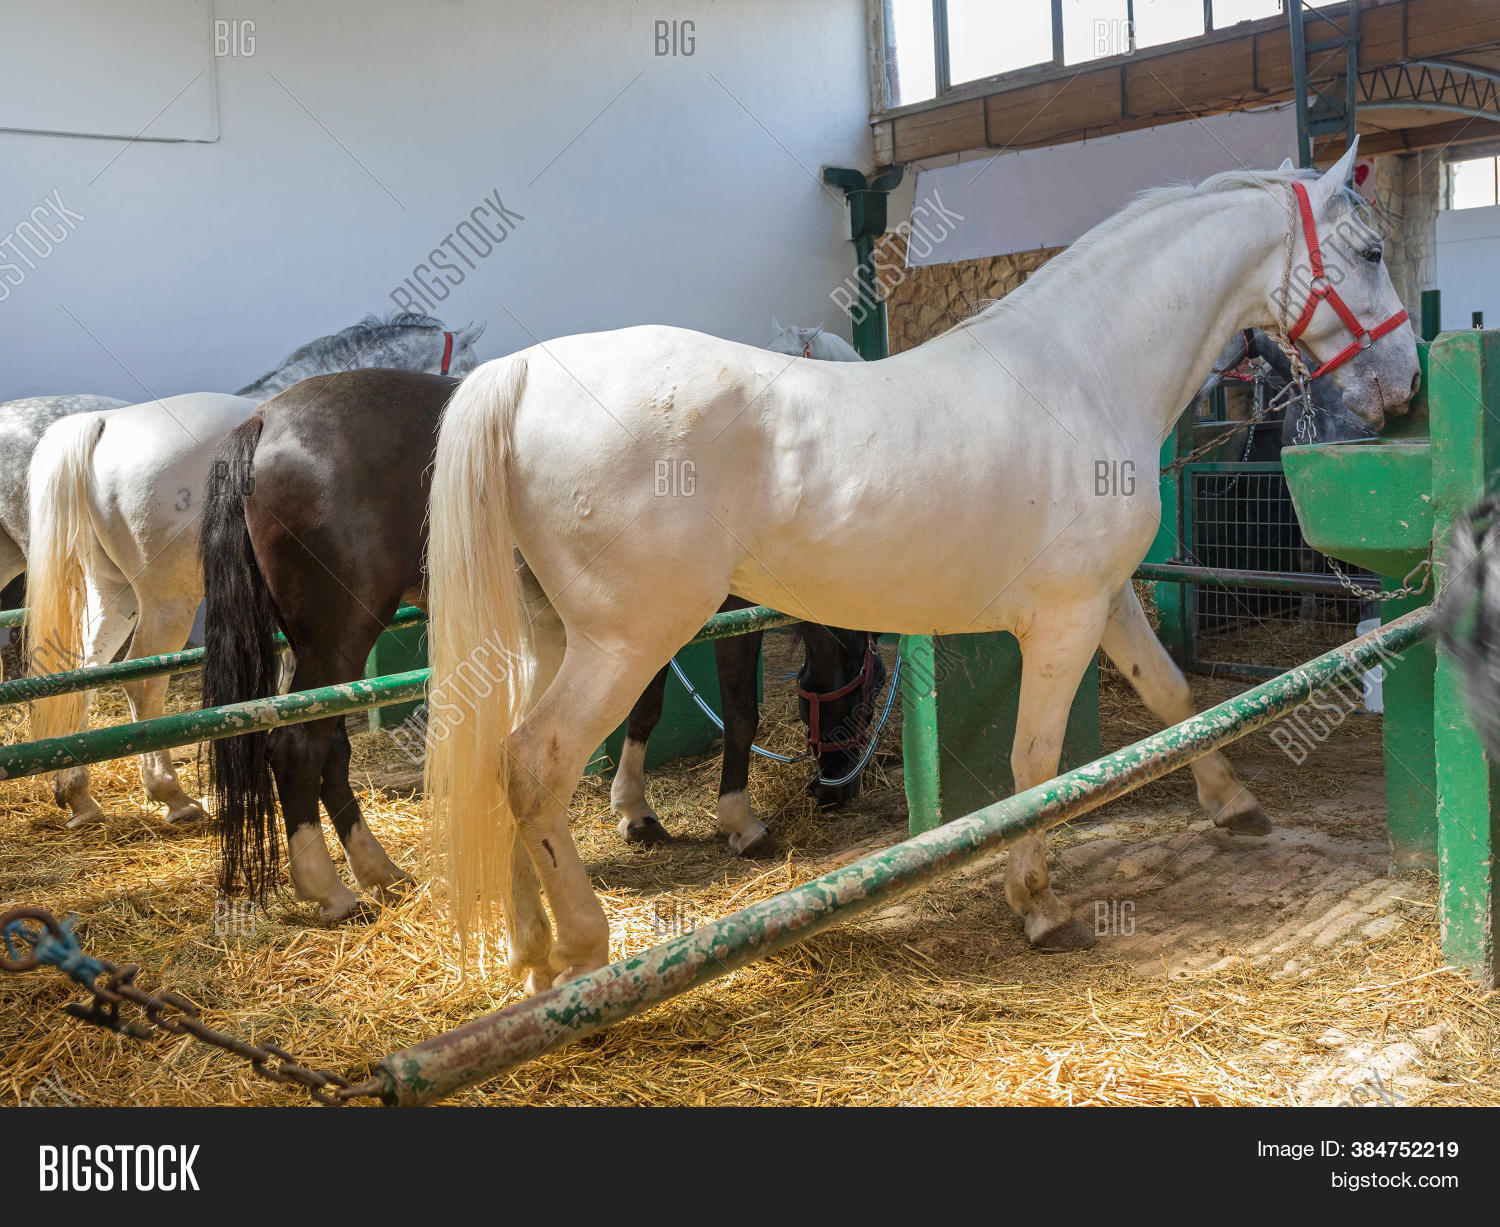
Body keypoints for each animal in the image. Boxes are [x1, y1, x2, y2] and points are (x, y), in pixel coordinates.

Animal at [20, 313, 482, 828]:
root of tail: (104, 426)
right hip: (167, 601)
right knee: (141, 680)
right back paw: (172, 796)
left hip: (114, 594)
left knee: (83, 671)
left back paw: (78, 795)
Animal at [200, 331, 882, 923]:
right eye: (866, 693)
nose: (834, 792)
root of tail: (264, 421)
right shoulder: (723, 614)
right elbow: (739, 712)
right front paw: (740, 822)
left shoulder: (639, 619)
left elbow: (647, 708)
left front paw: (635, 811)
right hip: (340, 637)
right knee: (298, 748)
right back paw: (331, 890)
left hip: (317, 651)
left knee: (329, 749)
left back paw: (379, 871)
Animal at [422, 144, 1420, 988]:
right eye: (1372, 250)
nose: (1405, 384)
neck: (1083, 372)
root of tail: (522, 375)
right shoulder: (1064, 620)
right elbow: (1034, 763)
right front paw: (1040, 905)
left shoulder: (1107, 602)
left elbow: (1174, 697)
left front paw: (1234, 805)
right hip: (627, 638)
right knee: (537, 763)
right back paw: (583, 953)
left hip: (550, 635)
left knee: (502, 760)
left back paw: (533, 955)